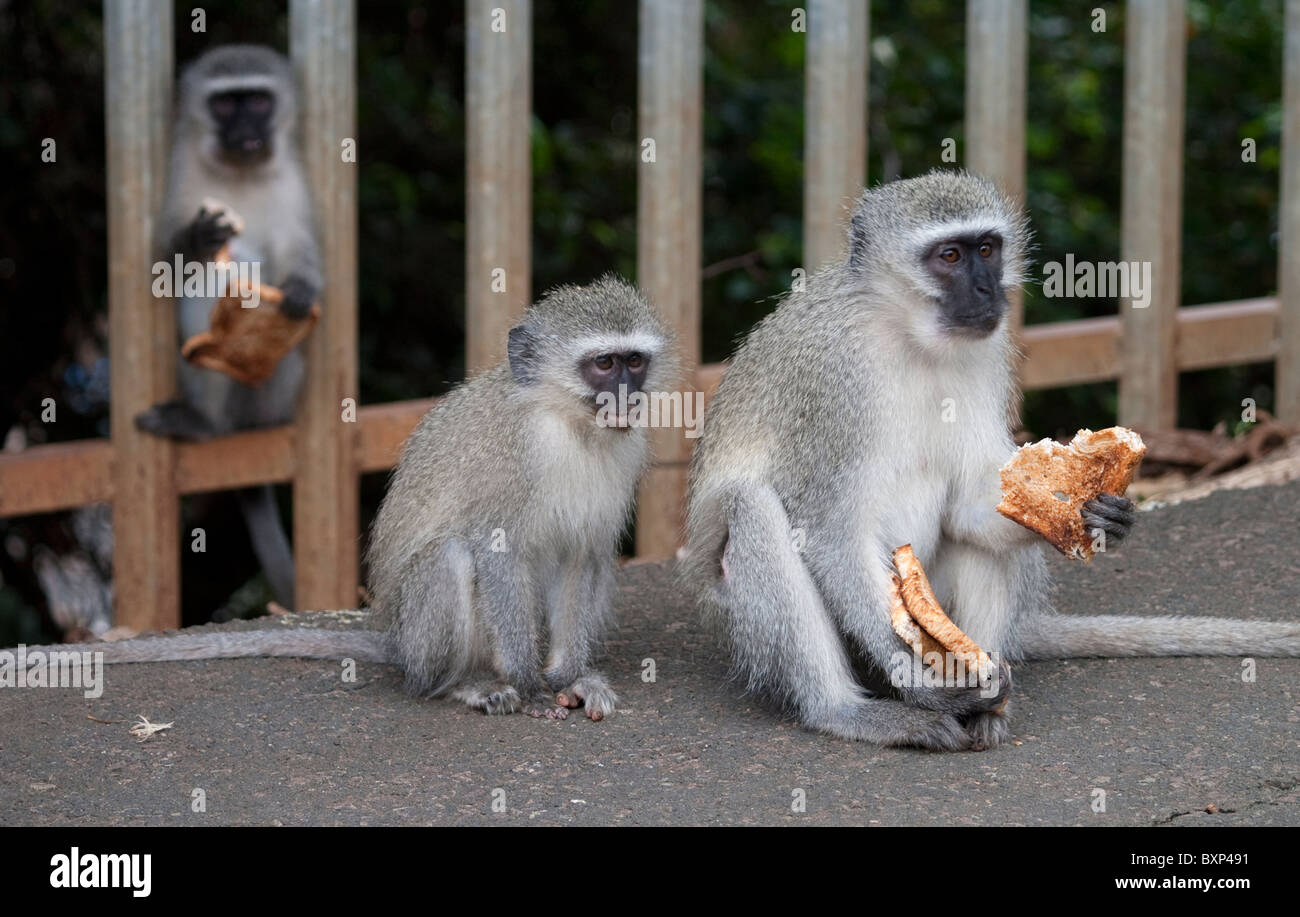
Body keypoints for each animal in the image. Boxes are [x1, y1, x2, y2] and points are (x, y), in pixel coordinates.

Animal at [29, 278, 676, 722]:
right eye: (602, 364)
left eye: (633, 362)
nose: (625, 397)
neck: (568, 424)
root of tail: (398, 643)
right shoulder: (512, 459)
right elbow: (494, 552)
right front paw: (530, 681)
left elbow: (584, 556)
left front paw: (570, 675)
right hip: (419, 637)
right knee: (449, 561)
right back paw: (462, 684)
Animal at [134, 45, 323, 609]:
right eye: (225, 104)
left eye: (257, 101)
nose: (245, 131)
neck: (240, 175)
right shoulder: (180, 178)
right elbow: (166, 263)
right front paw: (199, 237)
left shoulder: (293, 187)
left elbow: (303, 256)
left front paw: (301, 290)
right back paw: (204, 422)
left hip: (272, 395)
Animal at [679, 169, 1300, 753]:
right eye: (949, 257)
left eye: (986, 249)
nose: (985, 290)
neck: (909, 336)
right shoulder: (834, 380)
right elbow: (830, 534)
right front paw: (921, 682)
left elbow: (979, 504)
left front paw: (1096, 515)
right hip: (735, 620)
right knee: (752, 506)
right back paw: (850, 711)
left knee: (979, 538)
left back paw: (986, 708)